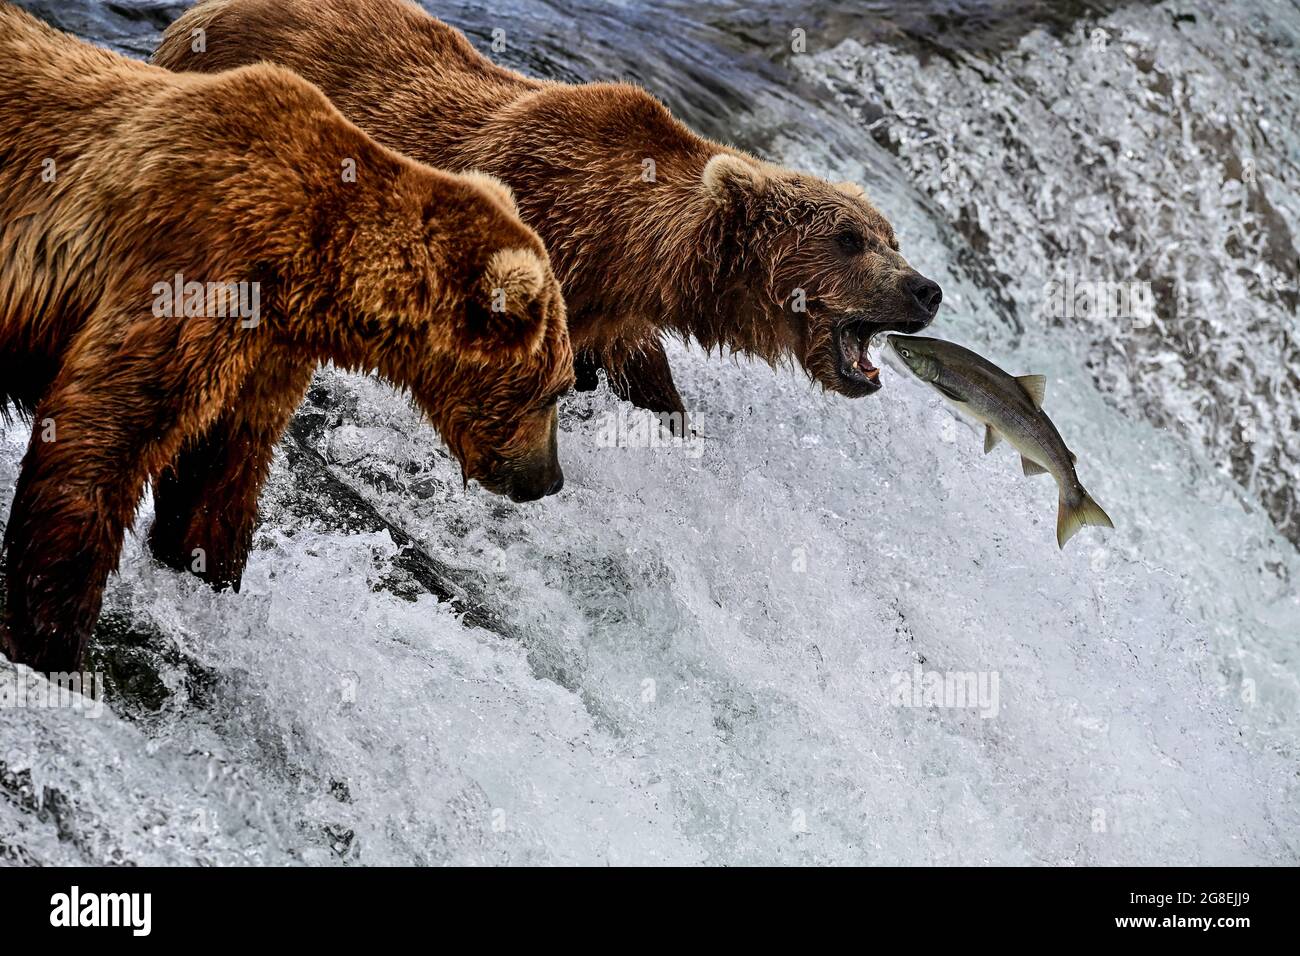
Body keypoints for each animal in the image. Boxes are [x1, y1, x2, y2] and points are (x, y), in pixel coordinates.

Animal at [0, 2, 574, 674]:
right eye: (557, 389)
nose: (549, 479)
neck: (309, 270)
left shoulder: (264, 350)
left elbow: (219, 469)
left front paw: (208, 573)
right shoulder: (191, 268)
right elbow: (96, 437)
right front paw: (51, 643)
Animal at [153, 0, 943, 423]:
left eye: (890, 236)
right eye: (848, 239)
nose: (926, 289)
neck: (626, 247)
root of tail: (198, 12)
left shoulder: (613, 309)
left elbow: (640, 371)